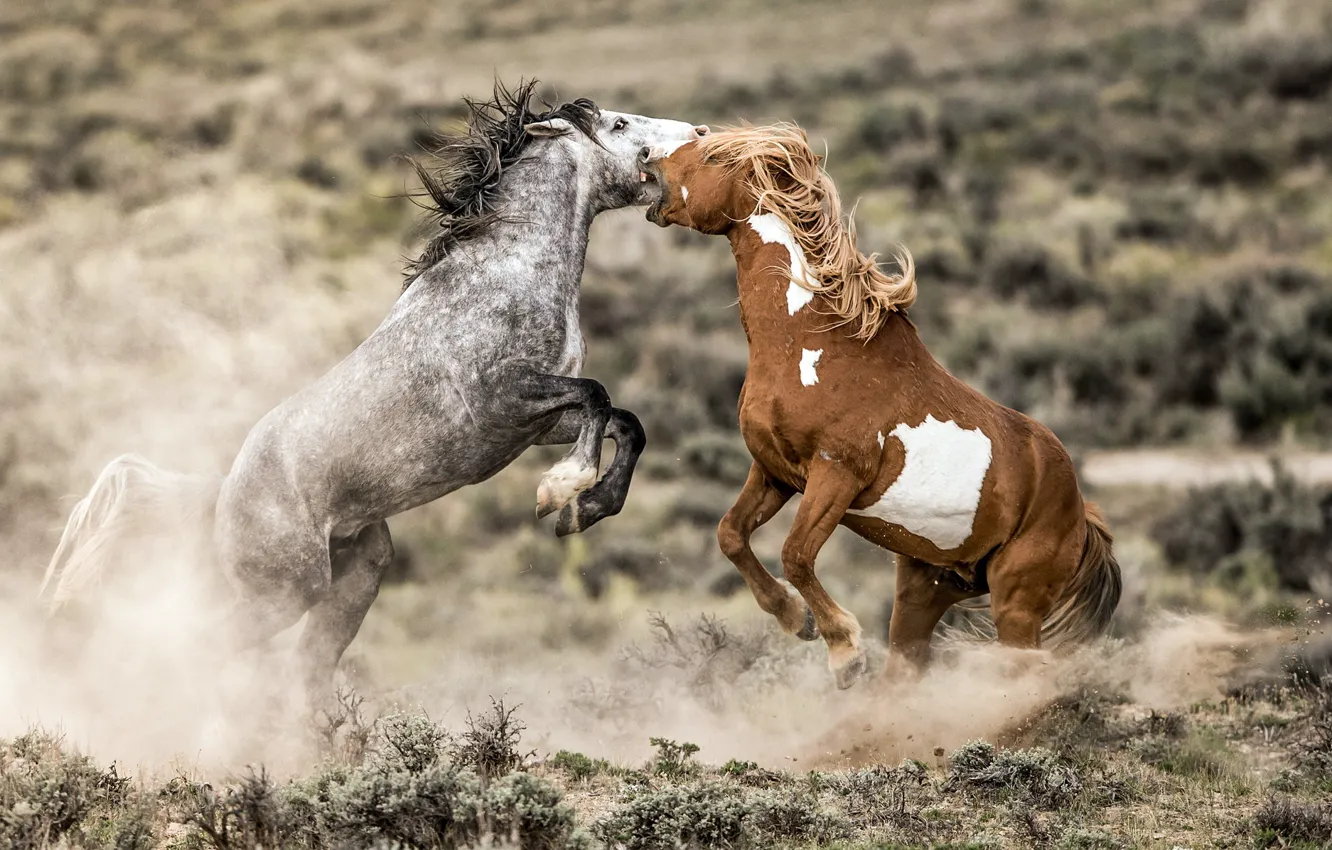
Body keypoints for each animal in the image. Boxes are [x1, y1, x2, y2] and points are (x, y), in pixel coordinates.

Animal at [40, 80, 710, 706]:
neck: (506, 272)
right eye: (619, 124)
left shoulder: (539, 423)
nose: (699, 133)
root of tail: (224, 493)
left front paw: (587, 509)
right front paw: (561, 491)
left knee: (303, 677)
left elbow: (625, 420)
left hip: (355, 579)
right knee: (199, 650)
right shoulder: (504, 399)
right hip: (282, 593)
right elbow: (598, 395)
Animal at [637, 124, 1121, 688]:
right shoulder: (774, 471)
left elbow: (795, 554)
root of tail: (1080, 511)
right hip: (927, 585)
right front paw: (795, 619)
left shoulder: (836, 474)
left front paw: (844, 651)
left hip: (1015, 600)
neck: (812, 341)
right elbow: (731, 535)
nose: (646, 156)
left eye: (712, 154)